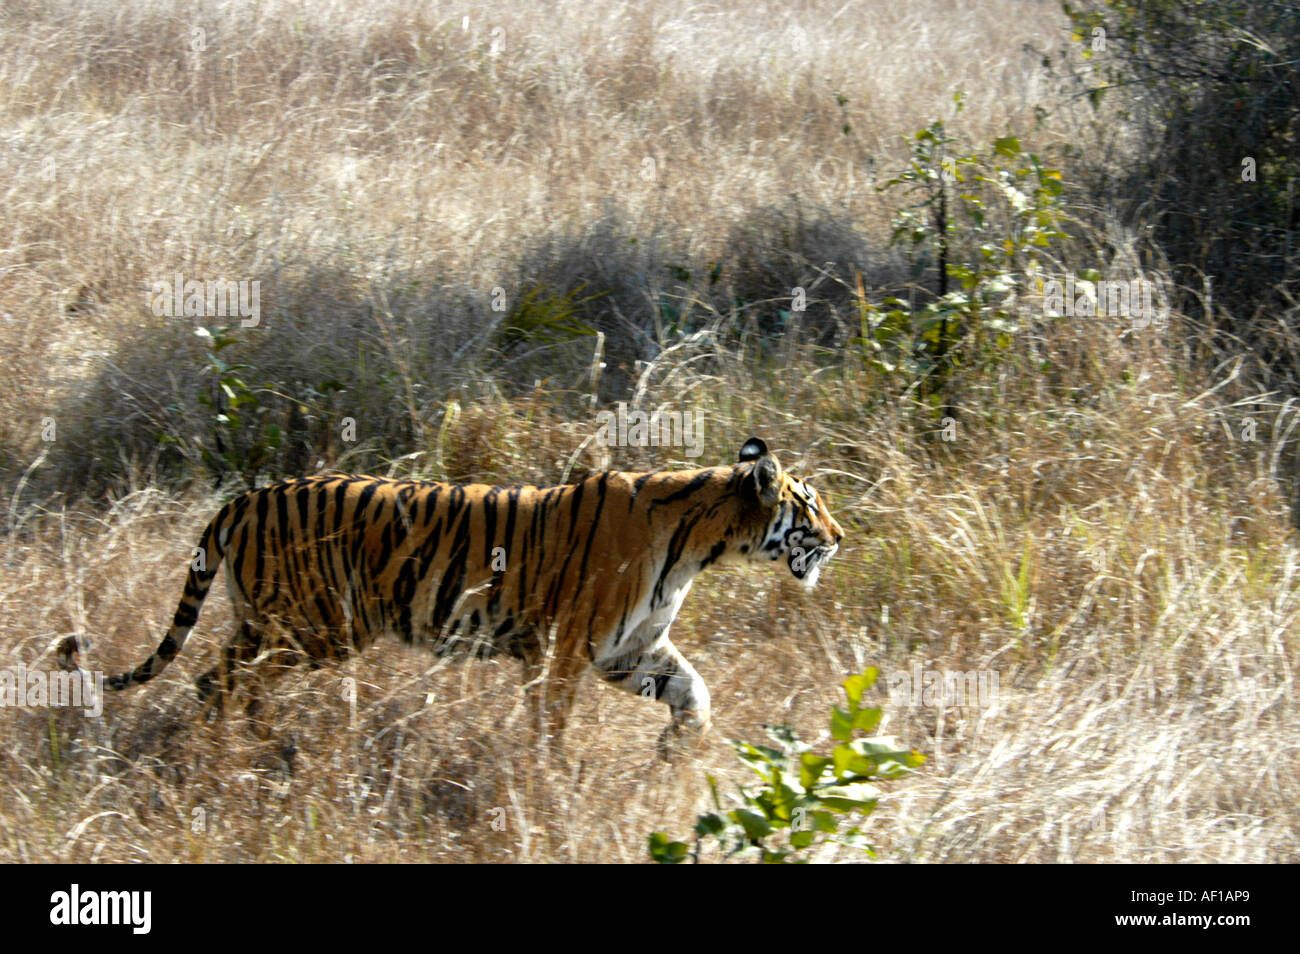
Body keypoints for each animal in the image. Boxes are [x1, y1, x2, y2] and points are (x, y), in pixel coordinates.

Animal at [58, 437, 844, 757]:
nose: (841, 536)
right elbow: (551, 729)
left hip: (277, 625)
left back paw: (247, 748)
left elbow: (696, 692)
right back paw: (242, 750)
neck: (700, 545)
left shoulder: (630, 651)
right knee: (225, 682)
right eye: (809, 503)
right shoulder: (565, 654)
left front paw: (677, 750)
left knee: (219, 679)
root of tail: (242, 499)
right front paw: (552, 782)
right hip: (316, 627)